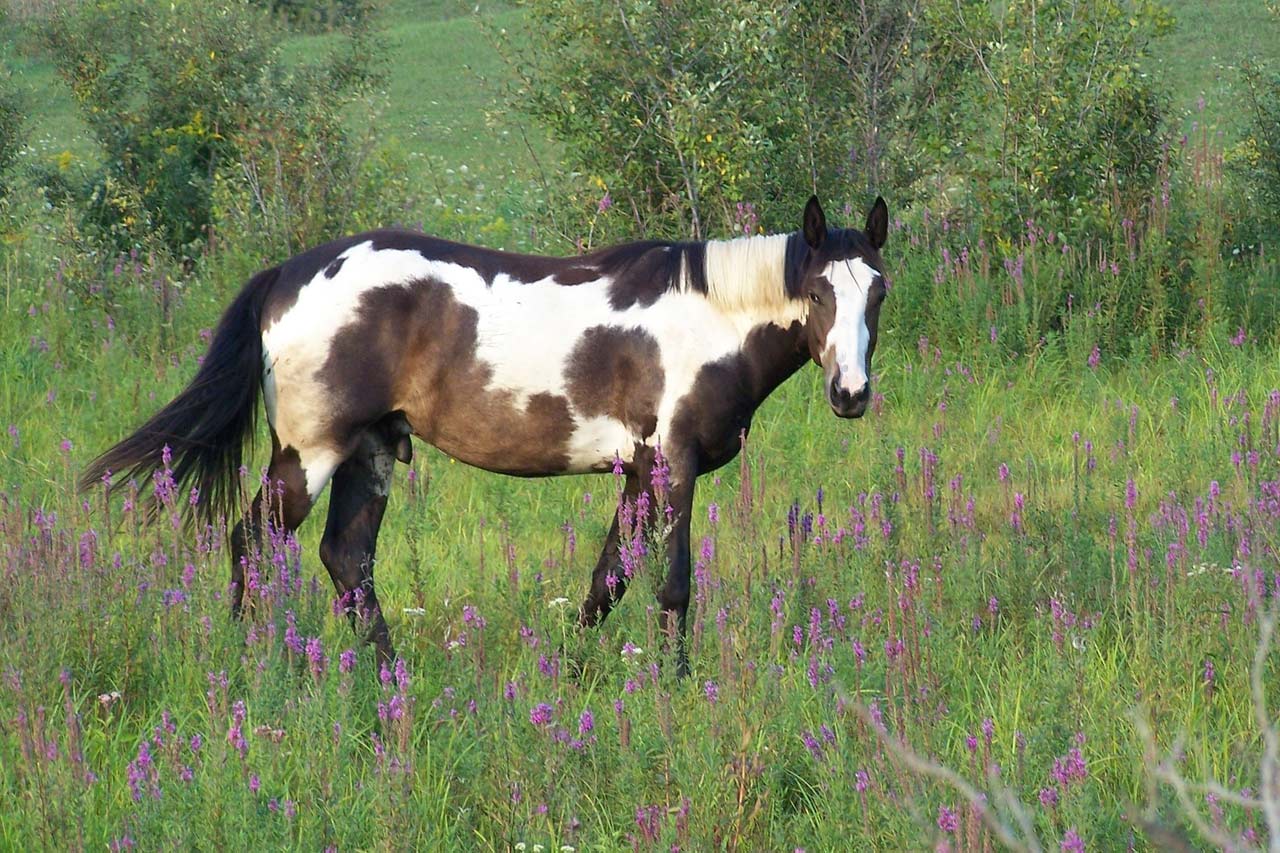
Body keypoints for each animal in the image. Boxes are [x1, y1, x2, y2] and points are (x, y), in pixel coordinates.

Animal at [81, 195, 889, 674]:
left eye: (878, 290)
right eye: (818, 290)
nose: (851, 394)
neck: (707, 319)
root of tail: (287, 273)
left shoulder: (636, 472)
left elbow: (607, 579)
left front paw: (567, 675)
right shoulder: (674, 464)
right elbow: (673, 584)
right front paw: (679, 689)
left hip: (371, 452)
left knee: (347, 560)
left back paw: (391, 680)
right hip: (307, 455)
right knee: (252, 542)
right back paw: (249, 663)